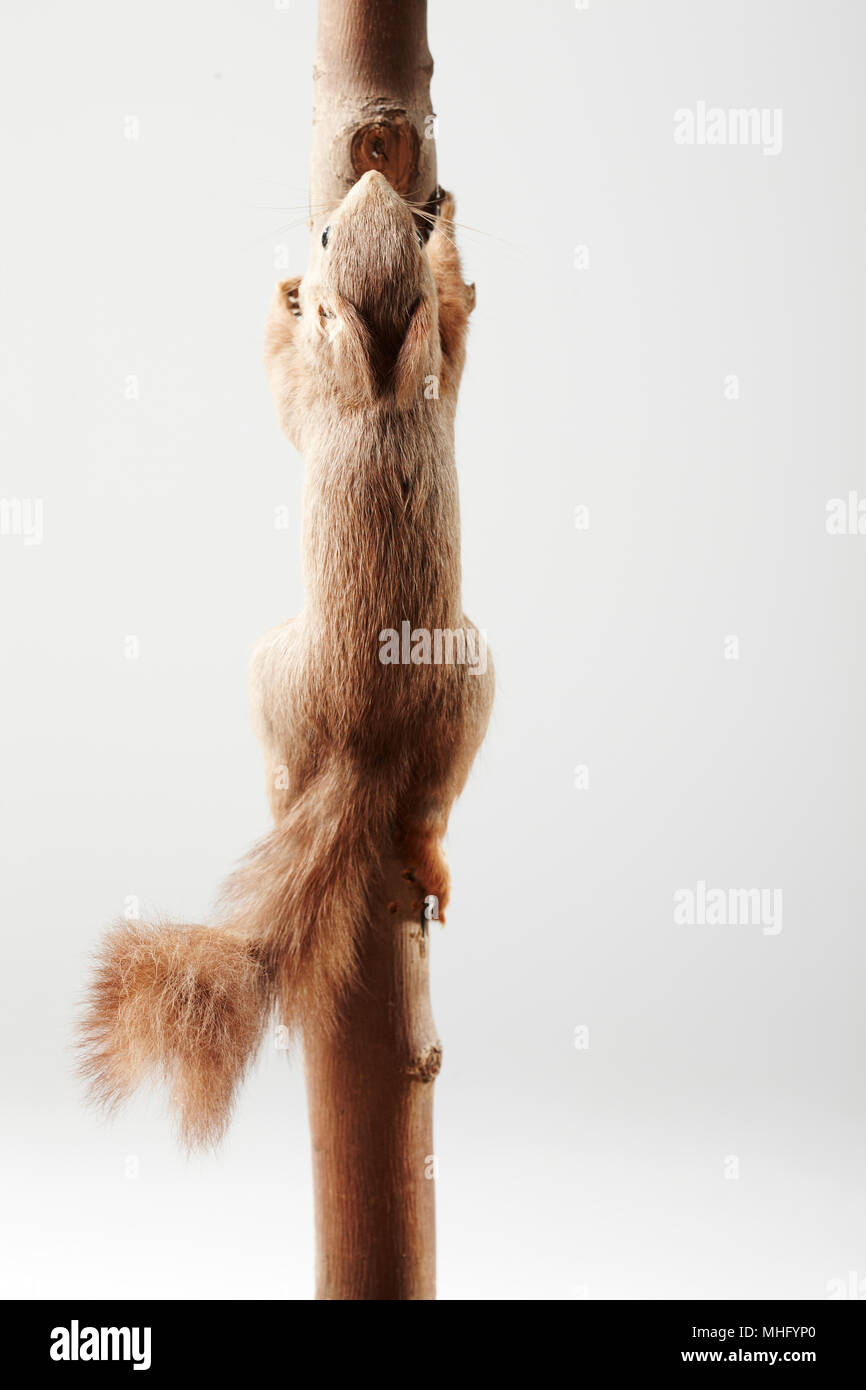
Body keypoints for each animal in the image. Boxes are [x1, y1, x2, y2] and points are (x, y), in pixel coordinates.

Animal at [79, 171, 494, 1147]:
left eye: (329, 236)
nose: (377, 178)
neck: (381, 381)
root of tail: (367, 744)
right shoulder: (443, 365)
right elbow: (458, 319)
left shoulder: (331, 394)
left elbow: (284, 383)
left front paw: (283, 299)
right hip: (471, 687)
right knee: (431, 808)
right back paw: (429, 863)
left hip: (272, 672)